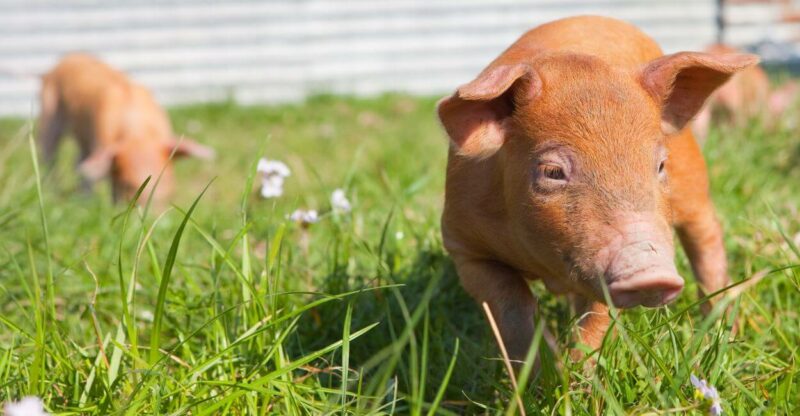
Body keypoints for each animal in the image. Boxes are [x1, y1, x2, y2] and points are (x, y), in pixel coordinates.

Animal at [37, 53, 214, 205]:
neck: (138, 134)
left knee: (77, 161)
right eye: (127, 184)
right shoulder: (100, 141)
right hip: (49, 114)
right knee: (50, 155)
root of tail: (67, 58)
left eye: (167, 179)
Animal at [437, 16, 758, 362]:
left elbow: (596, 319)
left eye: (660, 166)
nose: (650, 273)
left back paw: (724, 334)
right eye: (553, 172)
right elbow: (510, 309)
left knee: (707, 240)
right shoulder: (463, 245)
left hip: (693, 177)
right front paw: (544, 366)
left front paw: (577, 371)